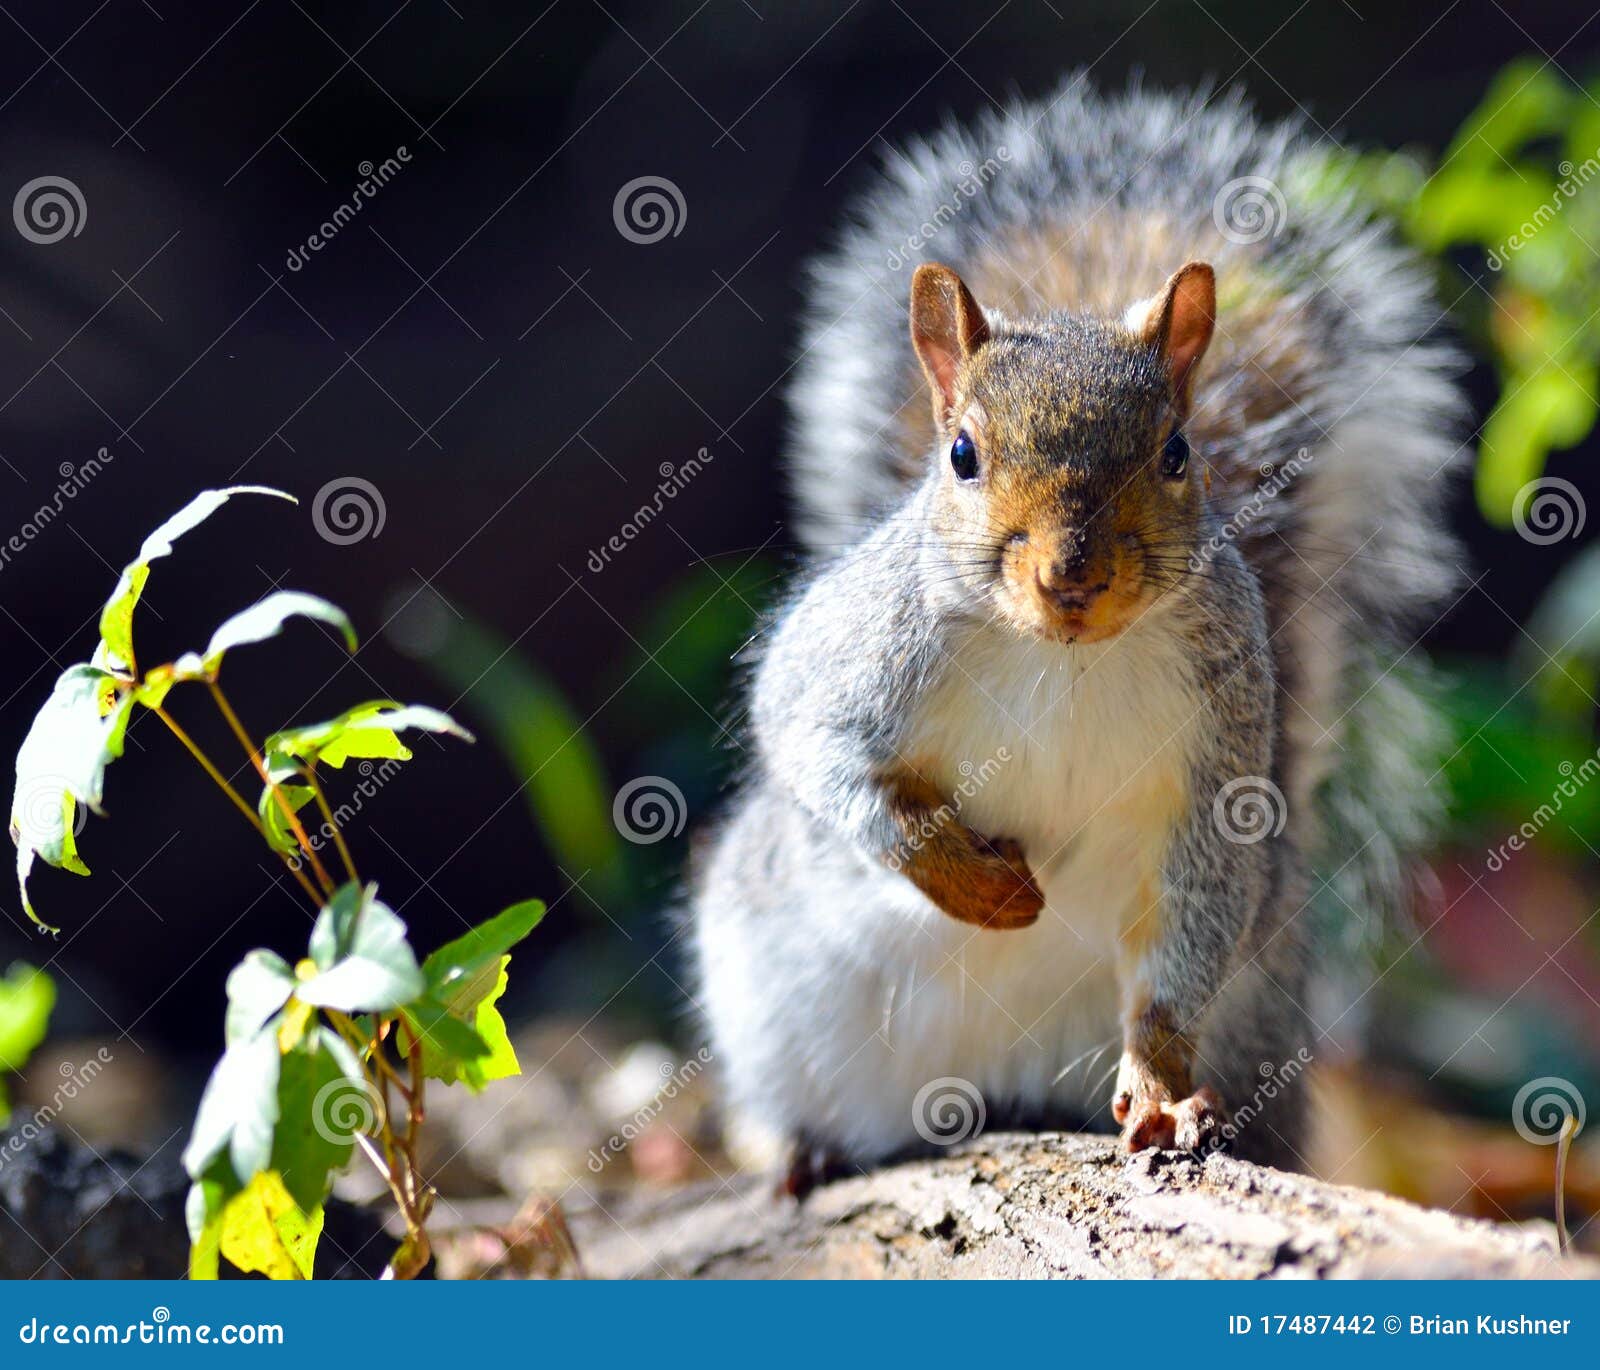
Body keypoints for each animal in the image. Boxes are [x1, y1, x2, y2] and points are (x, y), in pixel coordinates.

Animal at [691, 80, 1464, 1188]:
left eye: (1178, 452)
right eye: (960, 454)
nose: (1072, 575)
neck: (1063, 657)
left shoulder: (1220, 753)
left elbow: (1188, 926)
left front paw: (1160, 1085)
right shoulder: (852, 657)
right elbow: (812, 744)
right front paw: (970, 880)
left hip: (1261, 1016)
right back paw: (794, 1142)